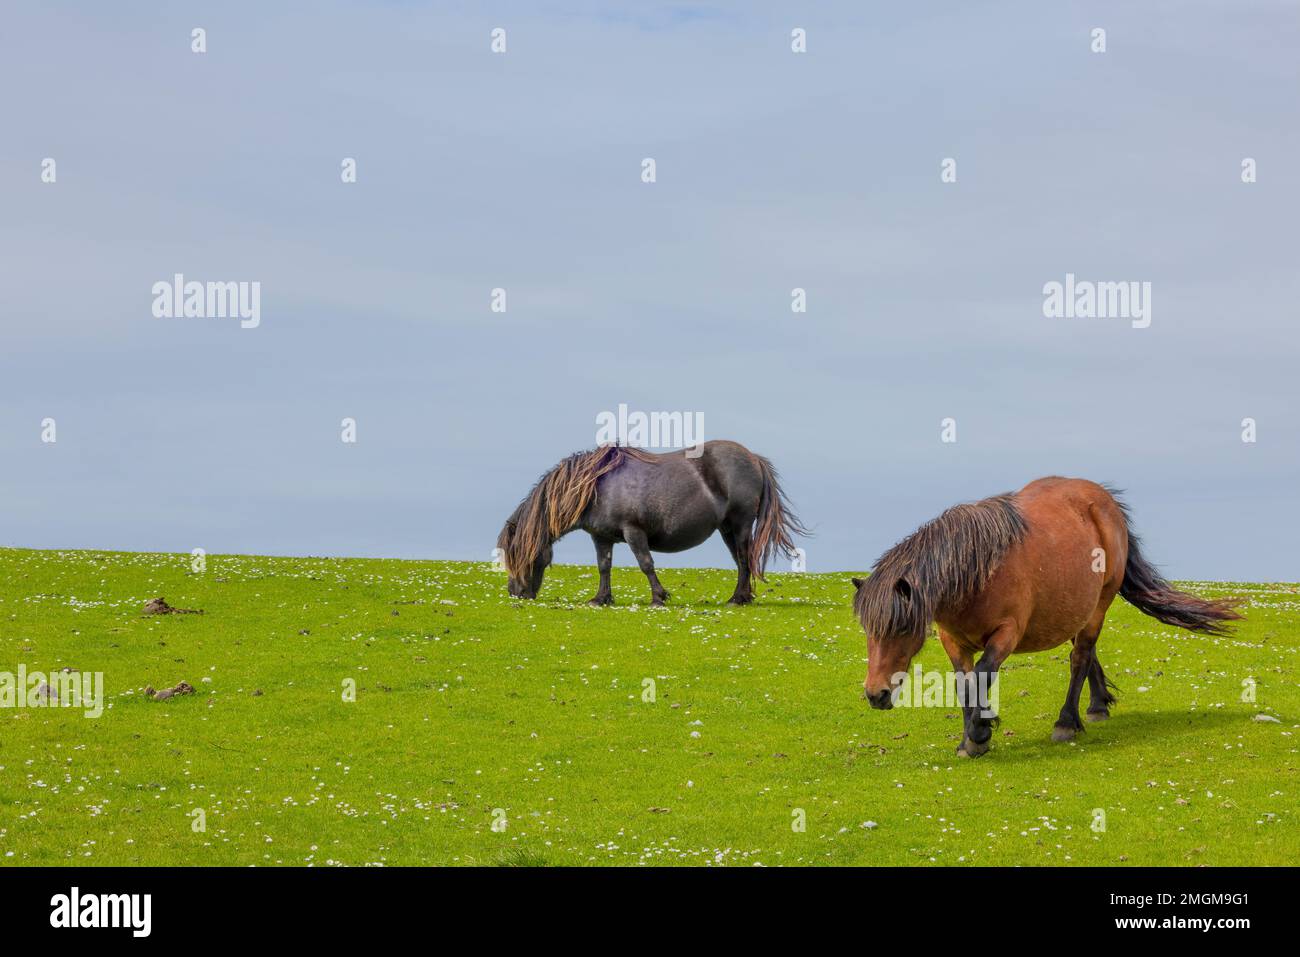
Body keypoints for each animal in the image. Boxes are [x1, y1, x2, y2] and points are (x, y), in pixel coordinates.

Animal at [496, 440, 807, 606]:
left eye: (515, 553)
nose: (516, 593)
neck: (596, 486)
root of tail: (754, 458)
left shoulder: (634, 531)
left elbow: (646, 564)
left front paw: (659, 597)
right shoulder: (601, 537)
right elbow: (604, 566)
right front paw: (601, 598)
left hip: (740, 524)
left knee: (743, 558)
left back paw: (737, 598)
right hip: (727, 529)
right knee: (741, 560)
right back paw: (741, 597)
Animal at [854, 477, 1241, 757]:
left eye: (901, 627)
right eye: (868, 631)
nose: (876, 694)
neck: (978, 572)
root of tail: (1104, 500)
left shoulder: (1006, 633)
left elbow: (982, 675)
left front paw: (980, 733)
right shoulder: (953, 640)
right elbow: (964, 684)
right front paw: (969, 741)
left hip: (1098, 605)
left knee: (1080, 657)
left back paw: (1066, 722)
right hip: (1072, 608)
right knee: (1086, 652)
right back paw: (1097, 706)